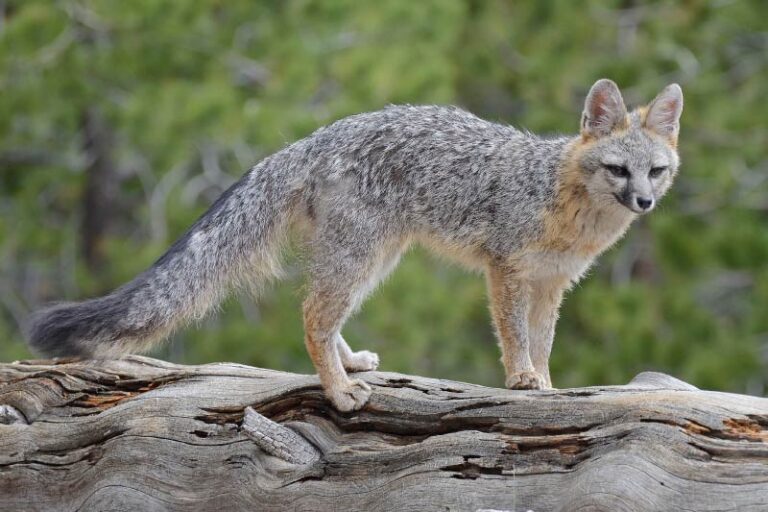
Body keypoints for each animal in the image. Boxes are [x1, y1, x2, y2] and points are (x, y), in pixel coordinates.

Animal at [25, 79, 683, 411]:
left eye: (657, 172)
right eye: (619, 169)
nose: (644, 204)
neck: (562, 198)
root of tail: (311, 139)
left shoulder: (552, 283)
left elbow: (543, 341)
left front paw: (546, 382)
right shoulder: (507, 271)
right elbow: (515, 336)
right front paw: (522, 380)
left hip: (375, 260)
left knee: (324, 314)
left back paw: (349, 366)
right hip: (362, 257)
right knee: (312, 316)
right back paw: (339, 391)